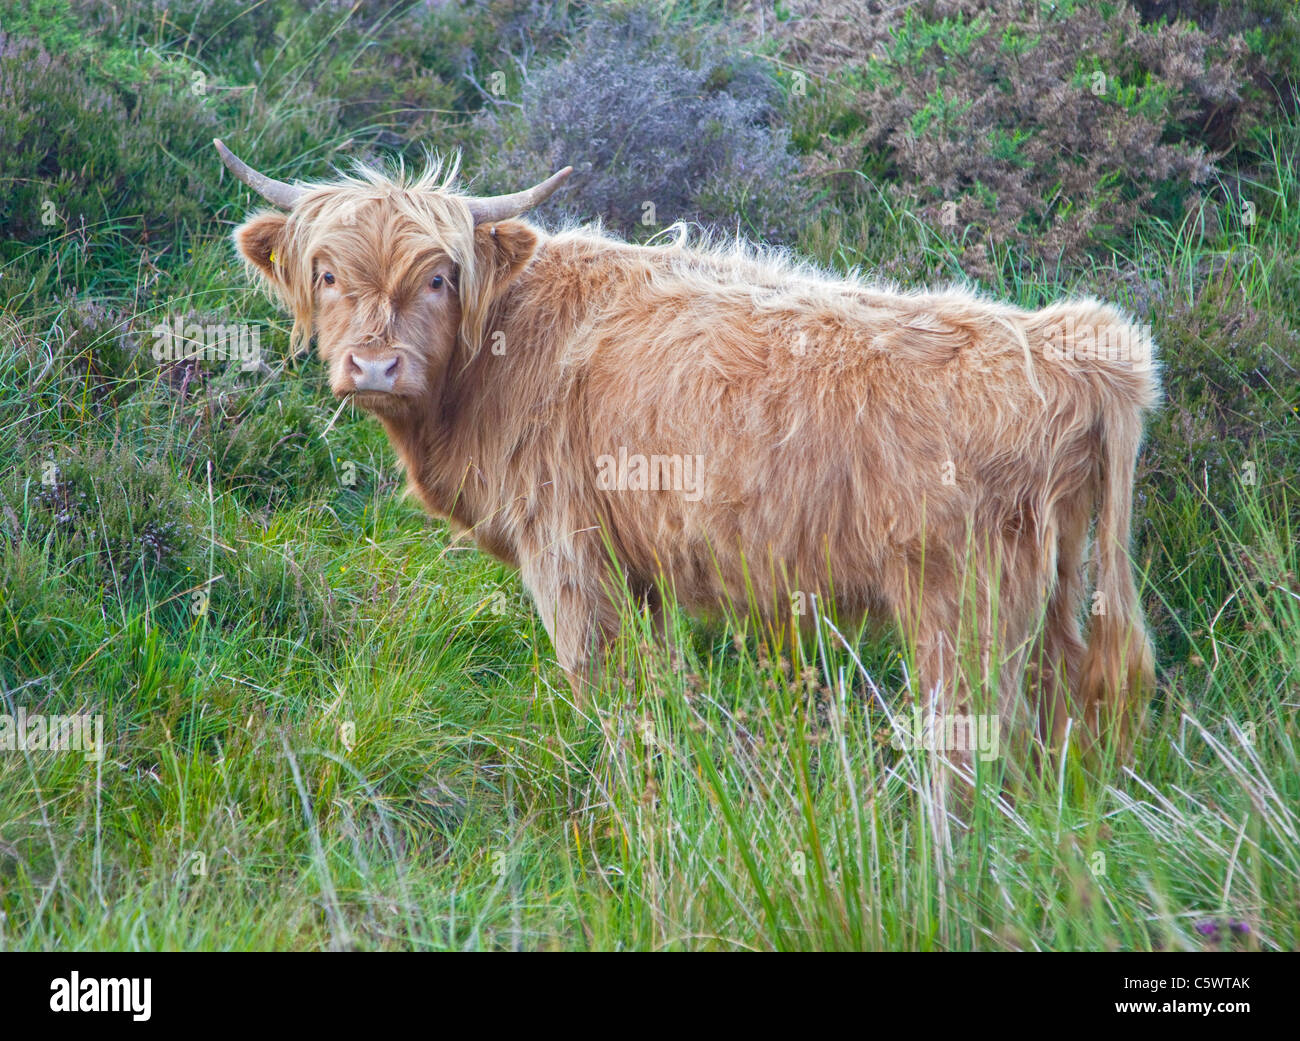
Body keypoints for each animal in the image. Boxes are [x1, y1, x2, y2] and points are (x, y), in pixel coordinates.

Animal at [215, 140, 1158, 802]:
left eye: (442, 277)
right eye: (325, 273)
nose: (374, 367)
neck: (494, 357)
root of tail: (1079, 344)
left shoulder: (565, 552)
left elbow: (600, 685)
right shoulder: (642, 571)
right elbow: (659, 688)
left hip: (964, 604)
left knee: (972, 750)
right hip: (1061, 586)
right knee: (1061, 721)